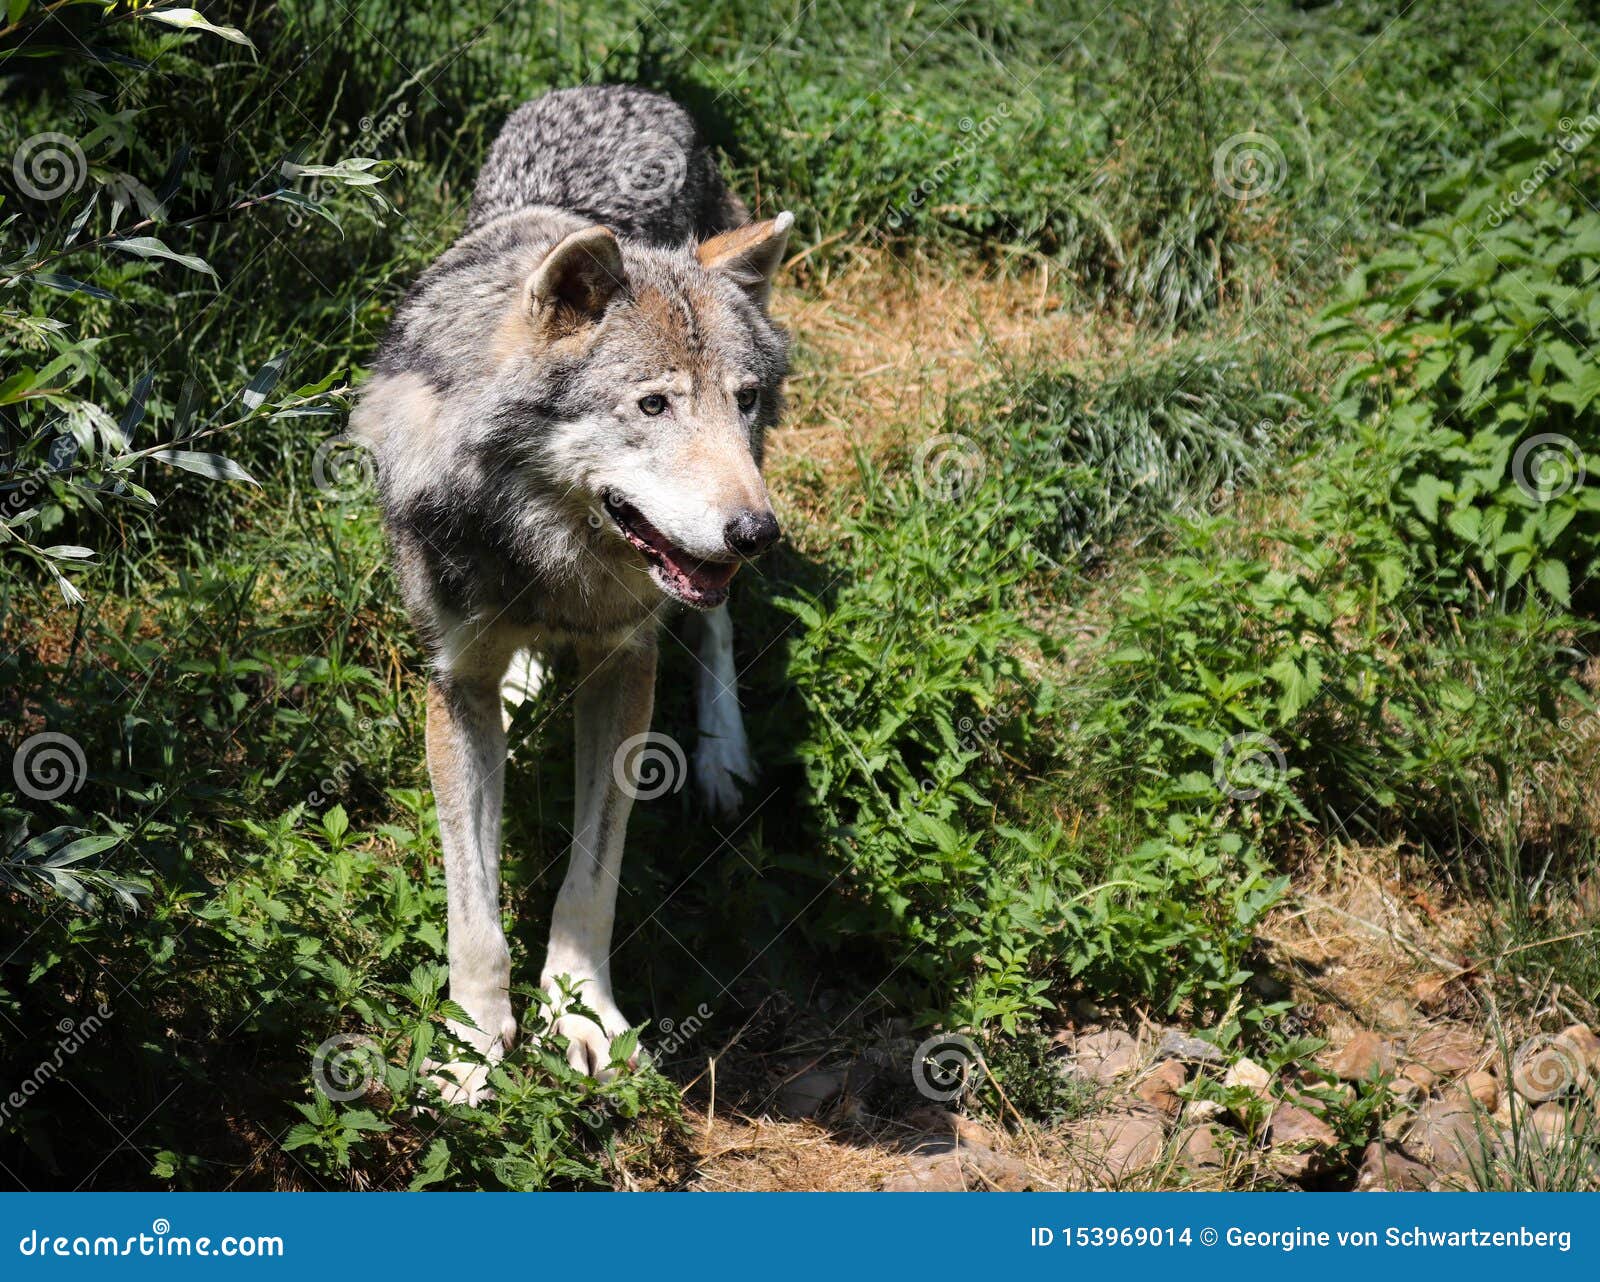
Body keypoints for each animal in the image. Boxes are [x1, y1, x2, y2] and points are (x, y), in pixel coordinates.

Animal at [349, 85, 792, 1095]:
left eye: (741, 398)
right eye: (654, 404)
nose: (756, 535)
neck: (548, 546)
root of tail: (626, 90)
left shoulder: (625, 666)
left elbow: (591, 881)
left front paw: (582, 1015)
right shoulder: (453, 688)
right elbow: (471, 913)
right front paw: (471, 1042)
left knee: (715, 631)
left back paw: (722, 755)